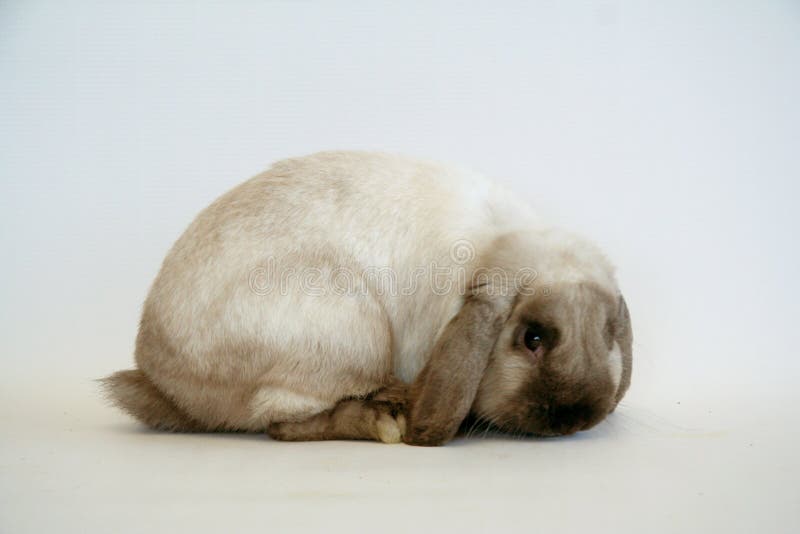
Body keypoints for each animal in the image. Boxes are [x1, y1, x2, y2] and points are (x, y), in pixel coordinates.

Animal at [102, 151, 632, 446]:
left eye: (609, 335)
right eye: (531, 338)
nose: (575, 416)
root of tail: (164, 380)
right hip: (351, 329)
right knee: (281, 421)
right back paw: (386, 416)